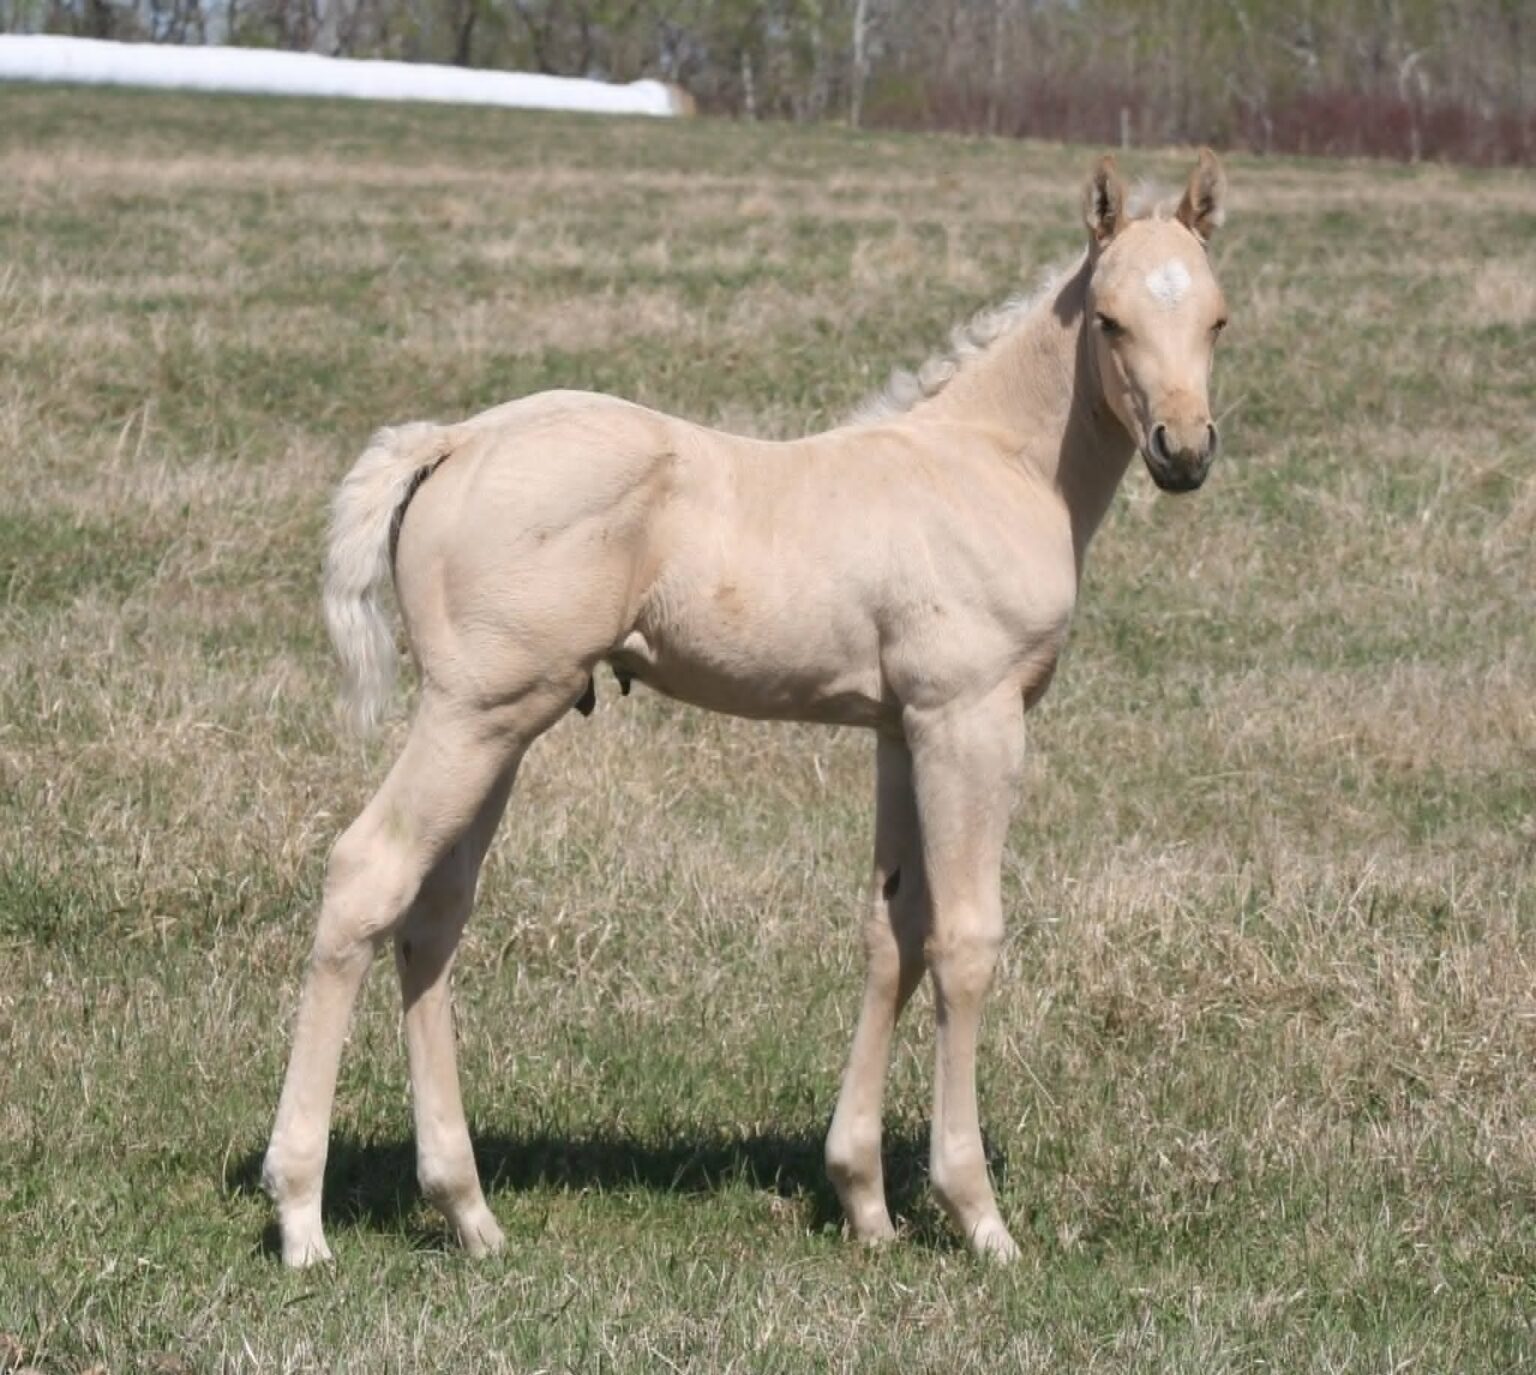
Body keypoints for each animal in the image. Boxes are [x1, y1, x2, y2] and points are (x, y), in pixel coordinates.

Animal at [262, 149, 1231, 1266]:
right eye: (1109, 320)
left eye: (1218, 319)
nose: (1184, 450)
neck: (991, 462)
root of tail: (454, 440)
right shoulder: (971, 718)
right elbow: (965, 941)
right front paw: (976, 1213)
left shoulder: (900, 729)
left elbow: (893, 931)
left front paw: (864, 1203)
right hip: (474, 712)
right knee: (365, 876)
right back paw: (301, 1215)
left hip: (499, 725)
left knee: (433, 915)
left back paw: (469, 1211)